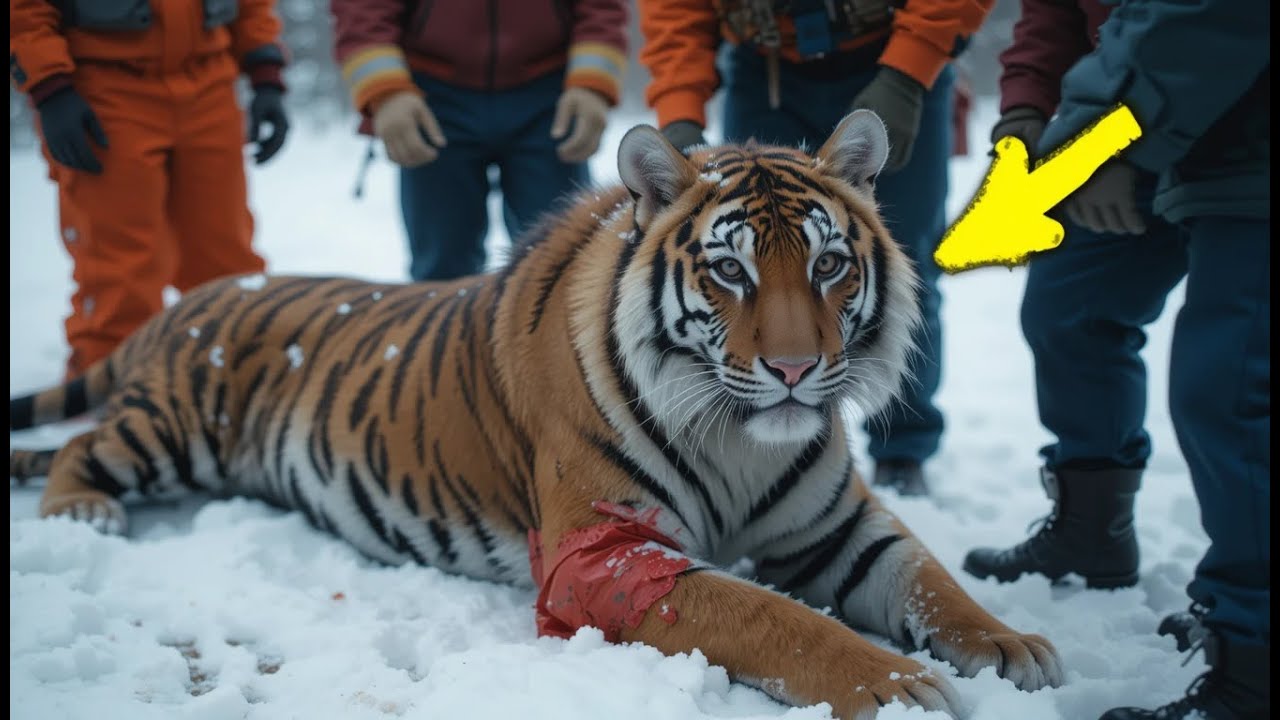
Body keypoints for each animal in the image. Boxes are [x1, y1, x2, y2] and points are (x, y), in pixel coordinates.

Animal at [9, 110, 1062, 719]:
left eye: (830, 263)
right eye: (729, 270)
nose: (798, 370)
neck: (741, 441)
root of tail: (193, 297)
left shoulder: (837, 524)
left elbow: (927, 582)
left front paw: (1014, 647)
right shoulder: (603, 555)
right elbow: (770, 617)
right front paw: (898, 687)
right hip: (174, 428)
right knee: (84, 444)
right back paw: (80, 512)